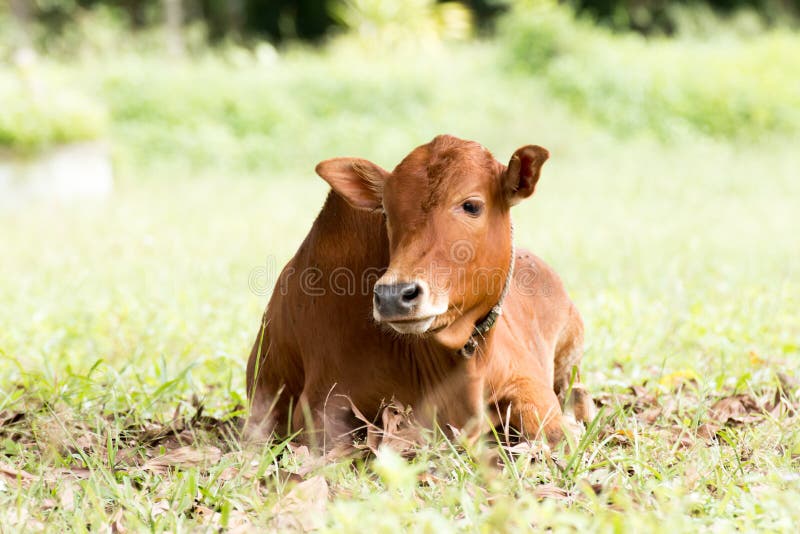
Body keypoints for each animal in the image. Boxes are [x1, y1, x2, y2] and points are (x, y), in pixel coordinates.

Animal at [245, 135, 594, 449]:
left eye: (471, 205)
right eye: (386, 211)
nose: (392, 295)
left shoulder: (529, 384)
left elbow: (558, 436)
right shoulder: (320, 409)